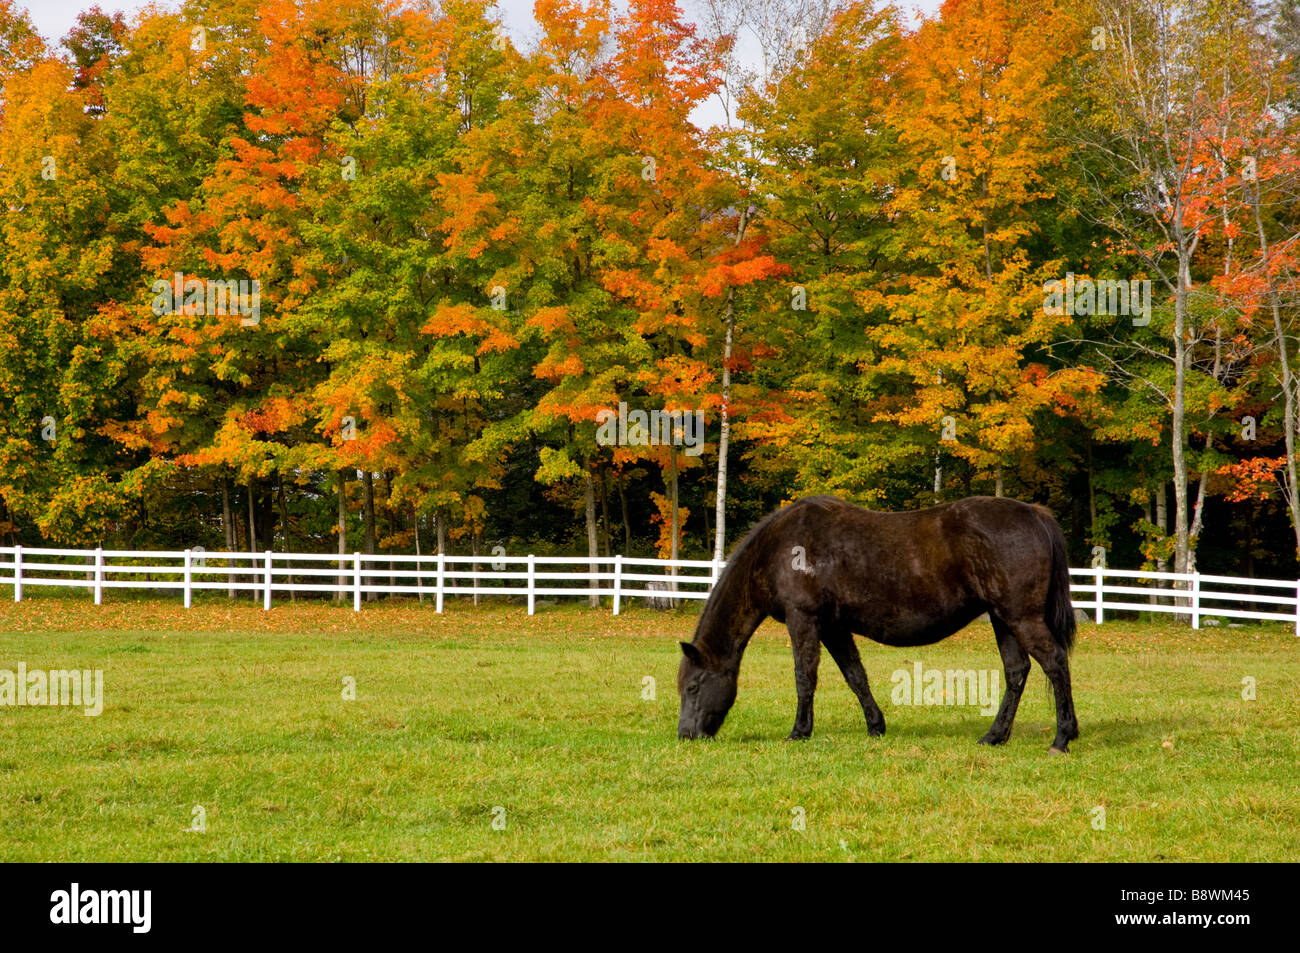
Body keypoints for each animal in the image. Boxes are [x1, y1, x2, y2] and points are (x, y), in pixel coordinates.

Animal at [677, 494, 1080, 752]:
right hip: (1002, 619)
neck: (783, 547)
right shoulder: (834, 627)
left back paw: (1062, 738)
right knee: (1017, 672)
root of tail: (1034, 514)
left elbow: (804, 677)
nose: (685, 735)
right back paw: (995, 736)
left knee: (1055, 663)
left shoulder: (803, 619)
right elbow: (855, 676)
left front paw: (799, 731)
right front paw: (875, 726)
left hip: (1021, 617)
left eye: (693, 687)